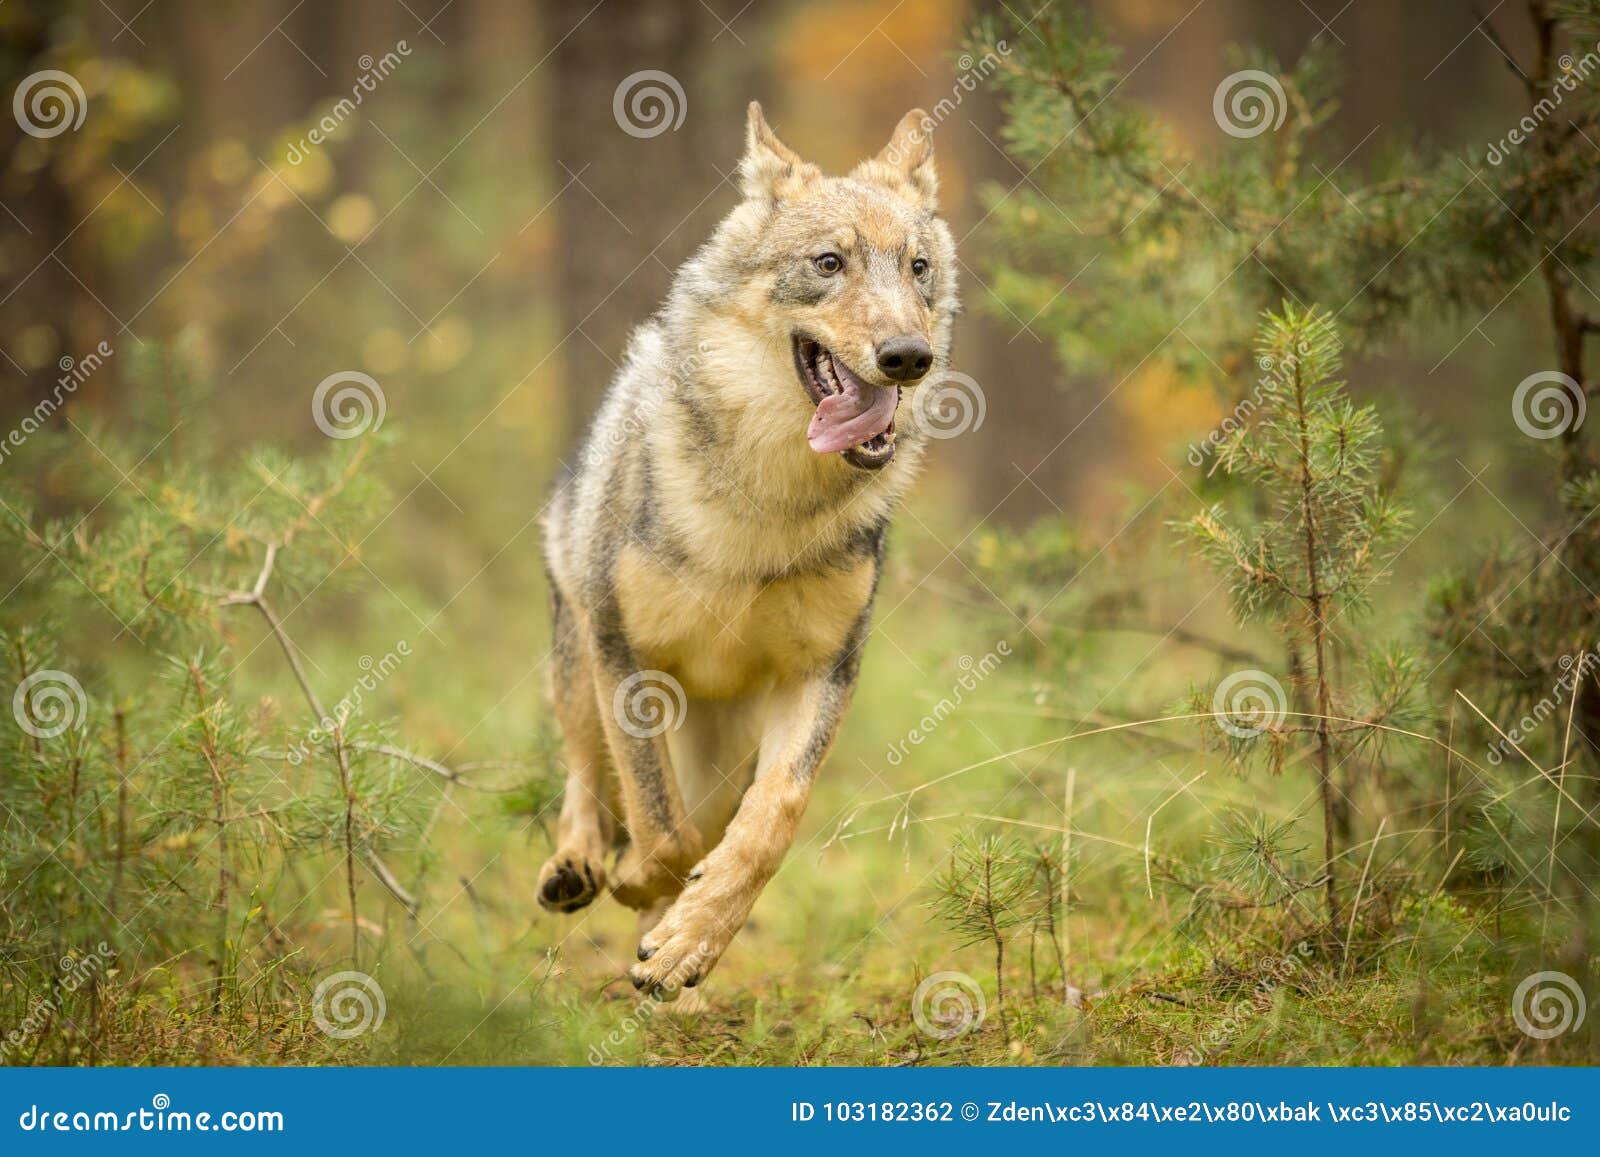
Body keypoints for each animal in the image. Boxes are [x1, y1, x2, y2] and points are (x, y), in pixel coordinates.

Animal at [536, 101, 957, 1000]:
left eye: (917, 268)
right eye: (829, 262)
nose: (909, 356)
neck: (768, 507)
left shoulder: (823, 669)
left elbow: (769, 822)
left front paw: (691, 938)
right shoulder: (623, 654)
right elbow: (659, 826)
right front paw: (640, 886)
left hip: (724, 740)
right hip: (579, 653)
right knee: (586, 770)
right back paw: (581, 865)